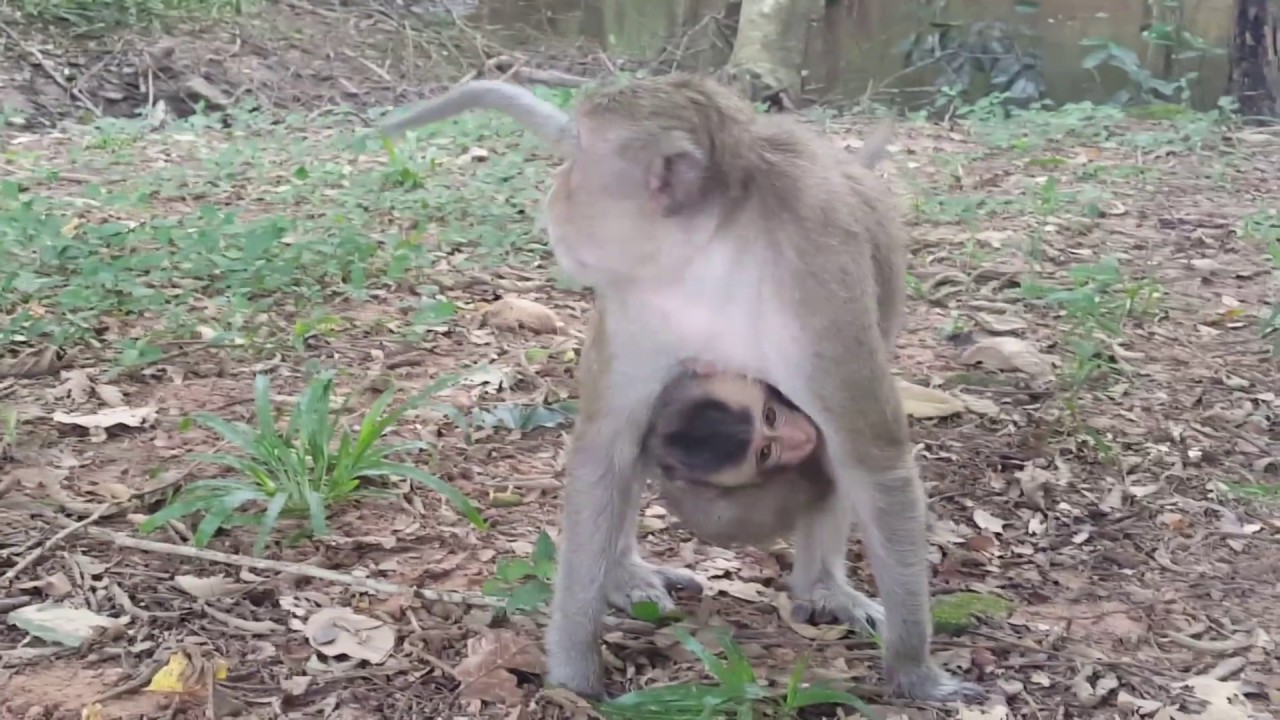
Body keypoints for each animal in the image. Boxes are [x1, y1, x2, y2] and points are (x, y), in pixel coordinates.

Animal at [377, 76, 983, 703]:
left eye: (580, 154)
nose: (556, 193)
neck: (716, 251)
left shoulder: (820, 291)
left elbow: (870, 456)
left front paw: (914, 671)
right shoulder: (637, 298)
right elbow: (608, 447)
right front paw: (574, 674)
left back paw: (821, 585)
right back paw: (625, 573)